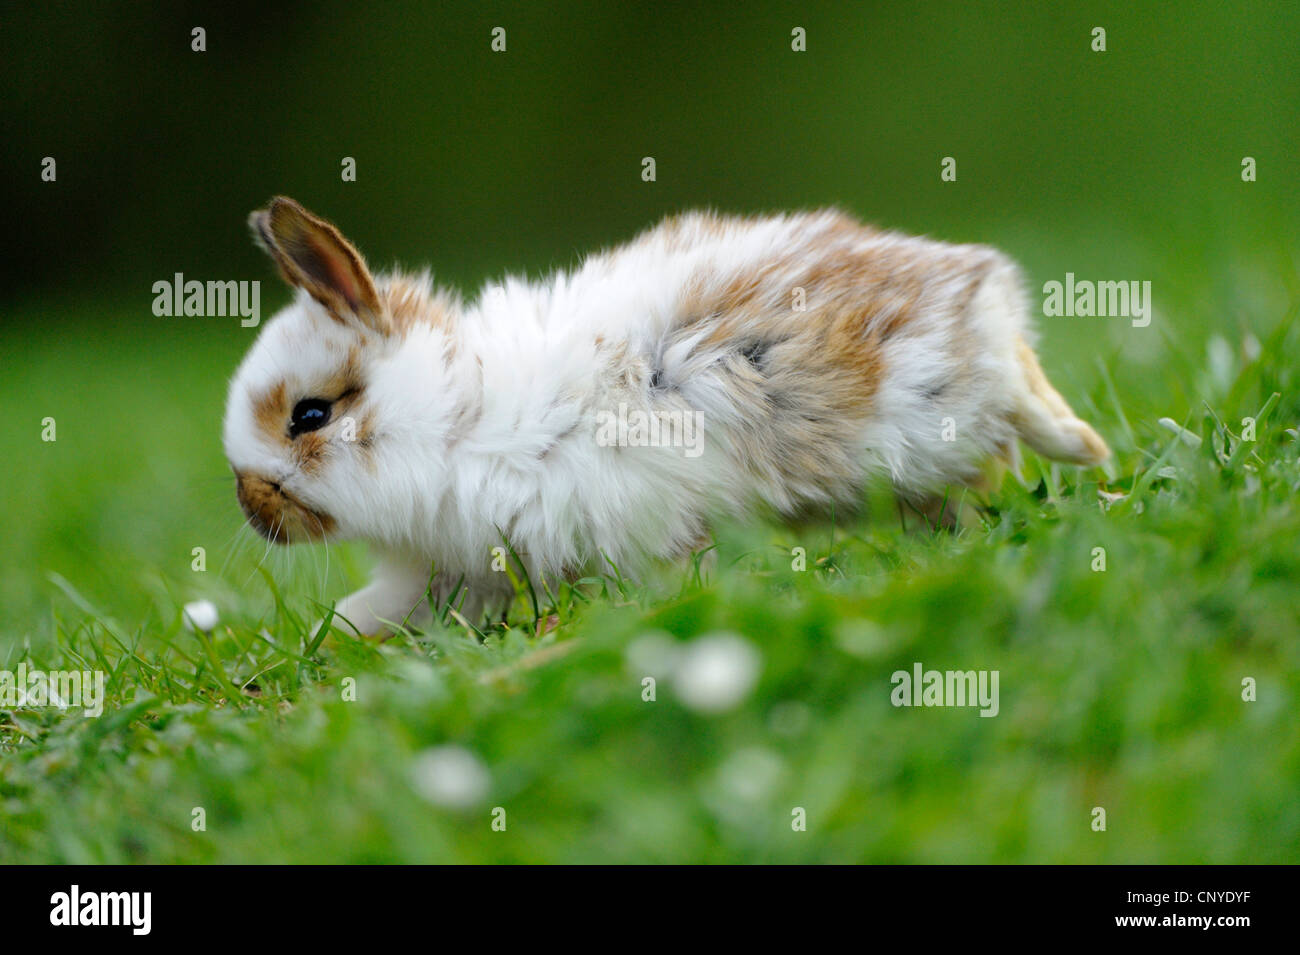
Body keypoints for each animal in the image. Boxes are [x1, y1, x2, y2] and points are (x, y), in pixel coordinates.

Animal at [224, 196, 1109, 636]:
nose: (252, 505)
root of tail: (982, 289)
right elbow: (385, 609)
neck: (455, 414)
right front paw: (337, 635)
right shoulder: (454, 568)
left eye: (309, 415)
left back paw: (1086, 451)